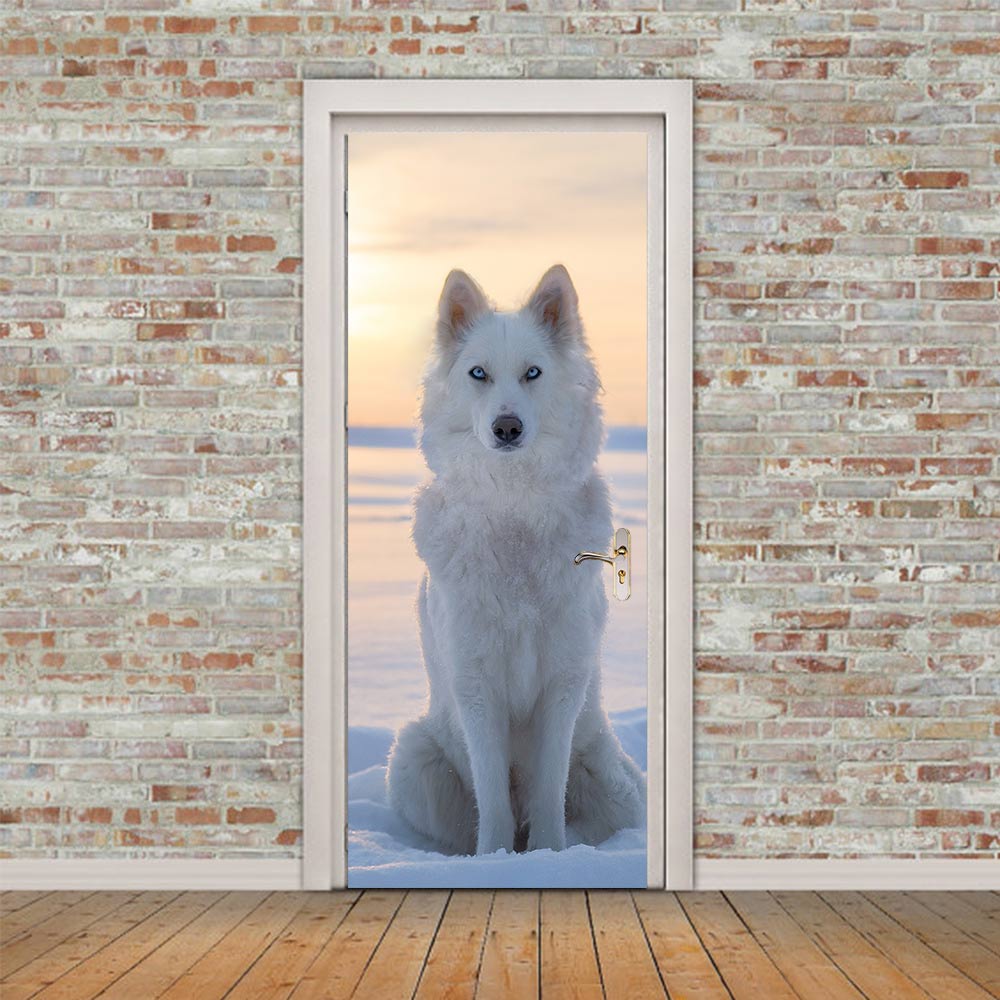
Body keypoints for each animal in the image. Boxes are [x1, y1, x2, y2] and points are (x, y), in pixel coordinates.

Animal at [385, 265, 645, 856]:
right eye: (478, 373)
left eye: (533, 373)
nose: (507, 428)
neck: (515, 510)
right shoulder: (476, 686)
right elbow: (494, 799)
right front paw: (495, 861)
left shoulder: (563, 685)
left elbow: (550, 792)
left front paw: (547, 857)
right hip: (413, 759)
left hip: (616, 784)